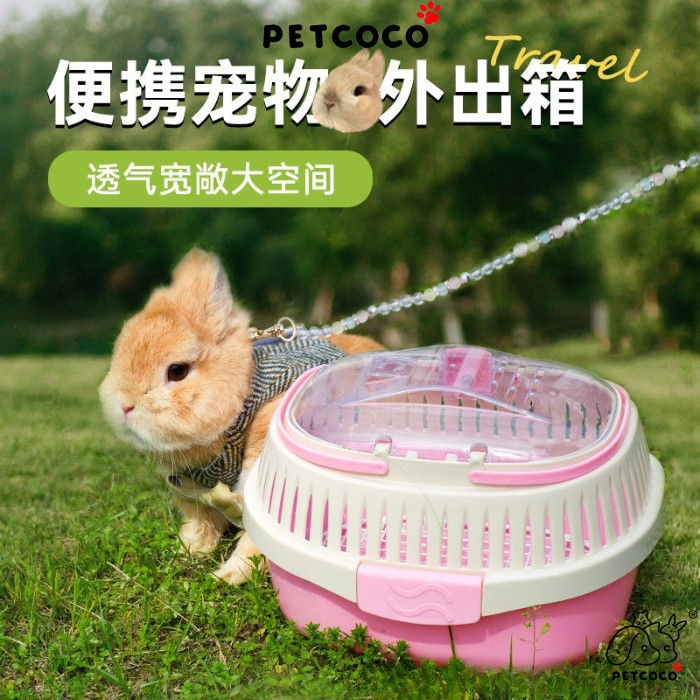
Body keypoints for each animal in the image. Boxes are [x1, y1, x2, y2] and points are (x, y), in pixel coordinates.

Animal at [99, 249, 382, 584]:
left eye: (177, 371)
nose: (124, 406)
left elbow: (255, 543)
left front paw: (226, 576)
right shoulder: (192, 492)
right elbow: (201, 524)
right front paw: (186, 552)